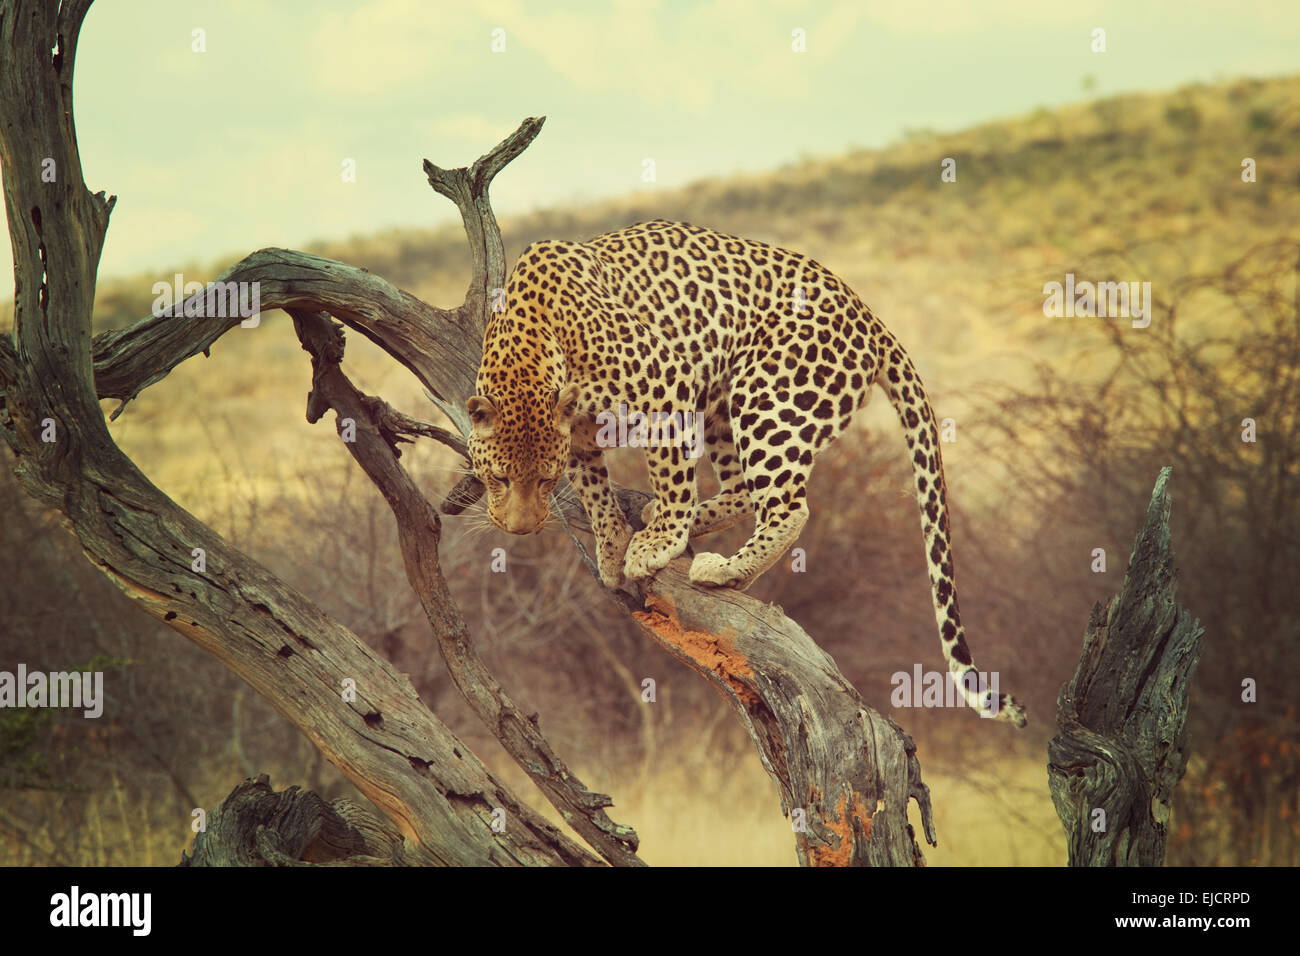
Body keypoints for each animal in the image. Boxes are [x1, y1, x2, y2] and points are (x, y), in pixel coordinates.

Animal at [465, 219, 1026, 726]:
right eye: (499, 479)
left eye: (543, 481)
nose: (520, 530)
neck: (532, 342)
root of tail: (868, 313)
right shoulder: (580, 431)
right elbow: (595, 492)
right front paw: (612, 544)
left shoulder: (667, 381)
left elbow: (669, 469)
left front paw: (657, 544)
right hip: (722, 404)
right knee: (741, 491)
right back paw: (676, 523)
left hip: (768, 396)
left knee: (788, 507)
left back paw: (721, 566)